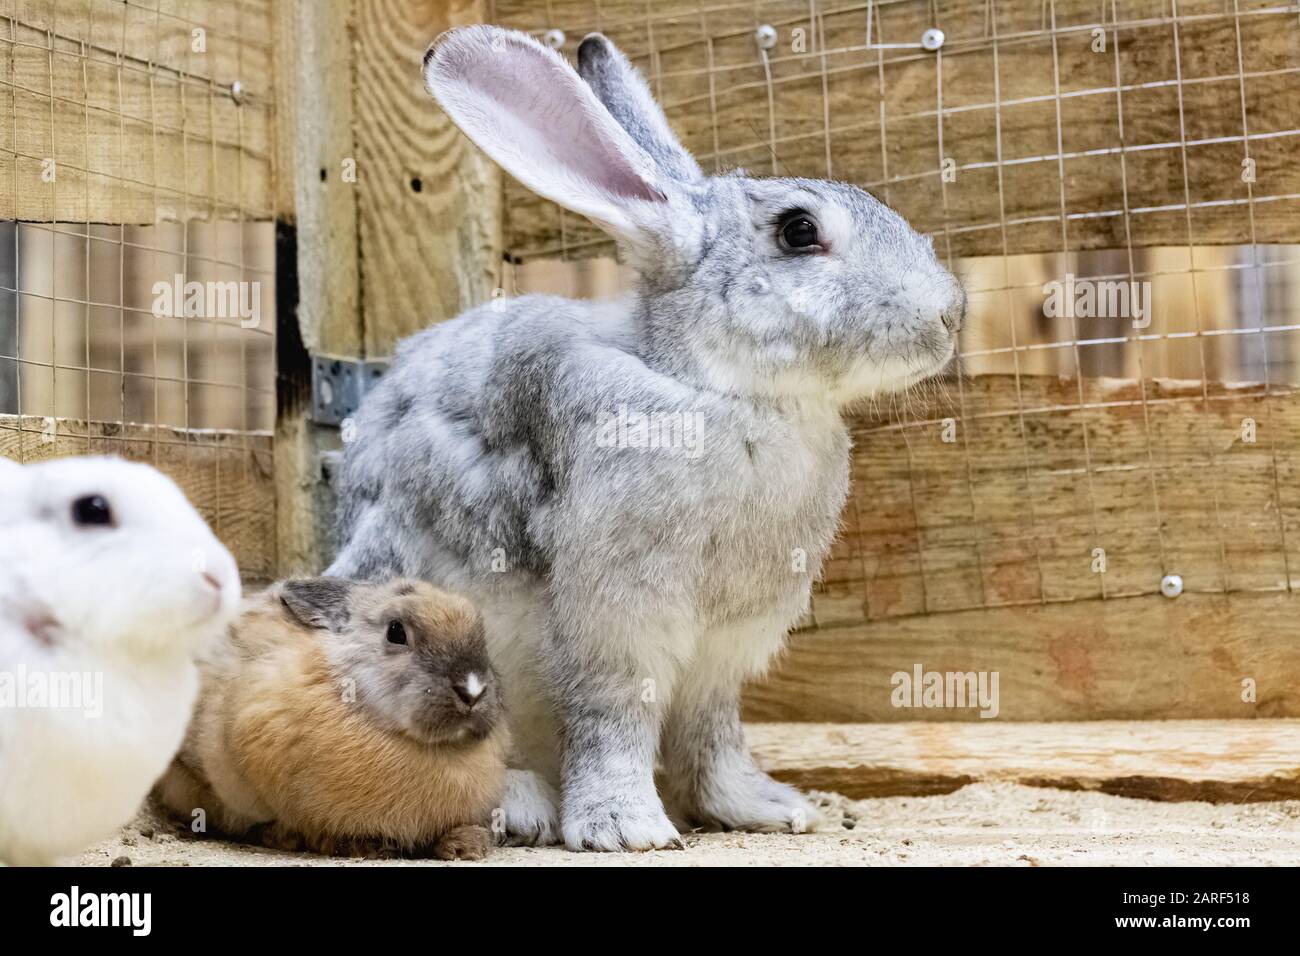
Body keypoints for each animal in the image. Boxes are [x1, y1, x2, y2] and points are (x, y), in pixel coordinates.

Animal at [327, 26, 964, 851]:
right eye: (799, 231)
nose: (951, 314)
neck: (720, 392)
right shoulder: (615, 622)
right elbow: (613, 719)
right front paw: (626, 828)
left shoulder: (724, 650)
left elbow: (713, 732)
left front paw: (764, 808)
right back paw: (524, 806)